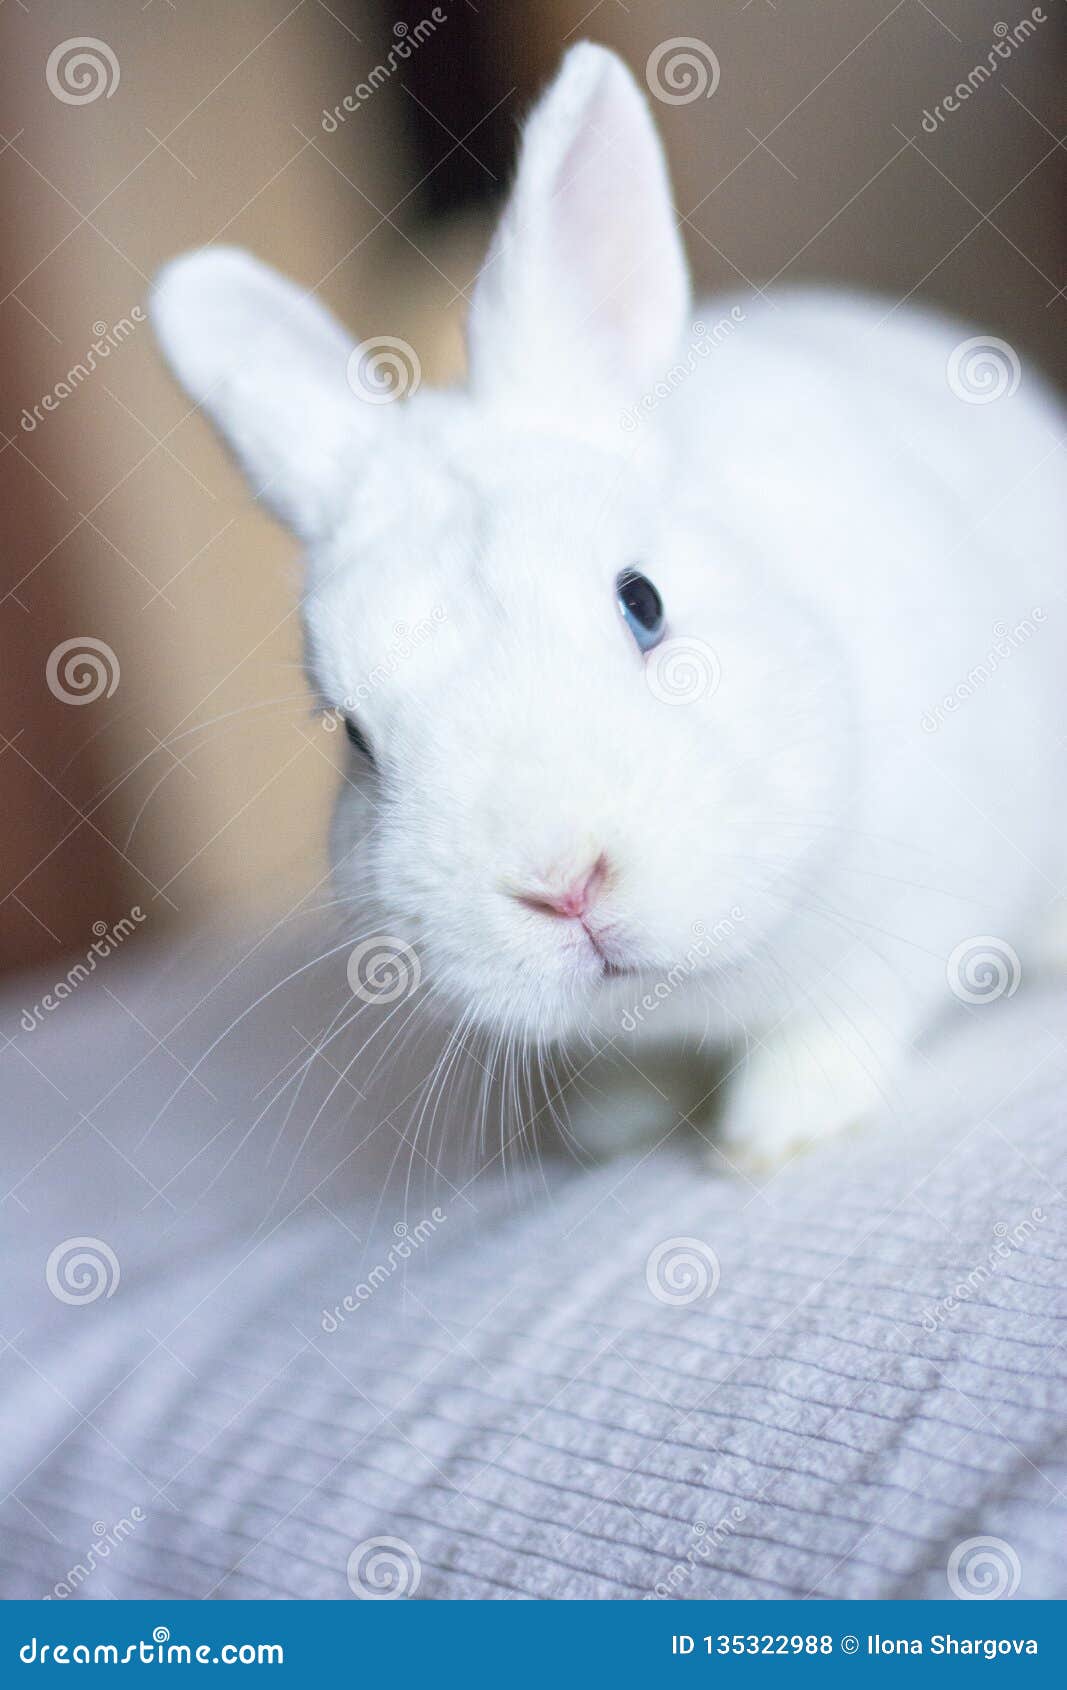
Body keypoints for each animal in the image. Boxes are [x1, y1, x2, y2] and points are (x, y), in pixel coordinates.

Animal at [151, 42, 1066, 1171]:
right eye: (355, 739)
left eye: (642, 603)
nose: (562, 885)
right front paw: (610, 1130)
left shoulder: (915, 908)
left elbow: (835, 1022)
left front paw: (769, 1137)